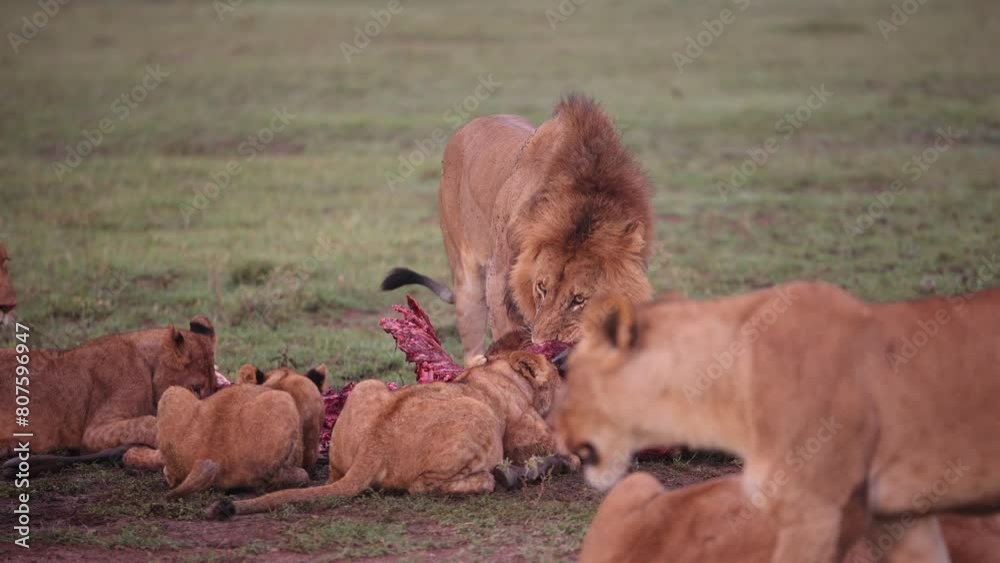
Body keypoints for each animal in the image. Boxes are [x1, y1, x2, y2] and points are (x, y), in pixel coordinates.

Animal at [207, 351, 564, 518]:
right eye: (559, 373)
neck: (497, 371)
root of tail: (376, 444)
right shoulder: (529, 431)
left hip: (368, 387)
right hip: (483, 417)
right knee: (422, 487)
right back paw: (496, 478)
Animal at [381, 95, 654, 366]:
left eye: (579, 299)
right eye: (541, 288)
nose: (542, 343)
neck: (589, 196)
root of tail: (469, 125)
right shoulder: (499, 276)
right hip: (466, 278)